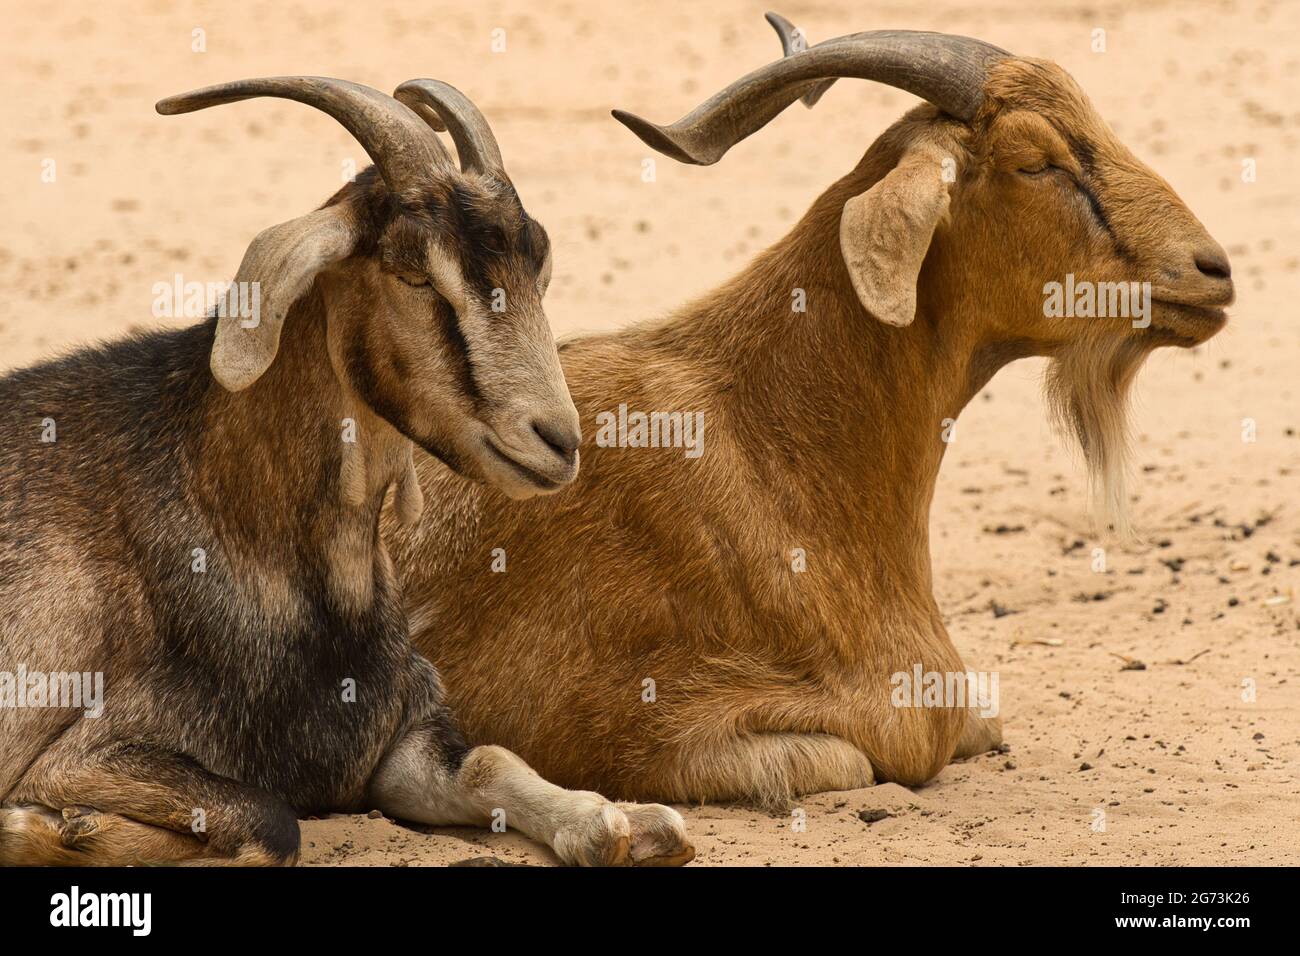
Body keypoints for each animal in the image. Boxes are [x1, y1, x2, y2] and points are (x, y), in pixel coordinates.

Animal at [0, 76, 692, 866]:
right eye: (414, 274)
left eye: (537, 266)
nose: (557, 439)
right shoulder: (85, 750)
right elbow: (270, 820)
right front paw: (48, 827)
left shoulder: (393, 741)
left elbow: (490, 762)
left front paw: (623, 820)